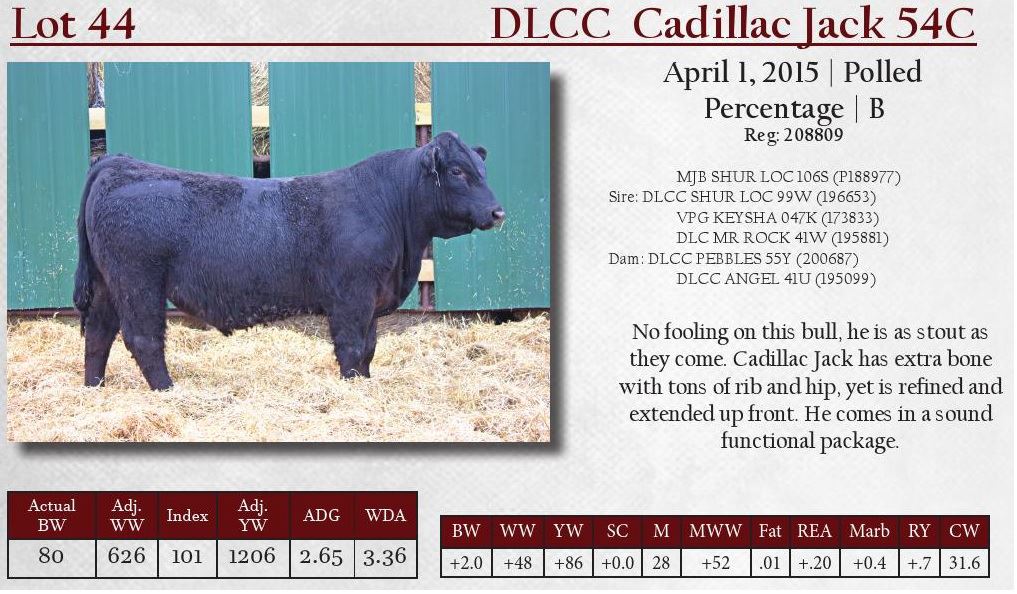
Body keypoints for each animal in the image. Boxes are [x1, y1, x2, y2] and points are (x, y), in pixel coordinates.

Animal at [72, 132, 504, 390]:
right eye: (457, 170)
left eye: (483, 168)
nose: (497, 212)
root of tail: (119, 164)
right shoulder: (352, 298)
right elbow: (352, 347)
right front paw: (353, 390)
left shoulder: (372, 301)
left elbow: (369, 348)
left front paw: (365, 386)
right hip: (137, 281)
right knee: (143, 338)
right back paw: (168, 390)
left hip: (109, 284)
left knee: (98, 334)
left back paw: (95, 387)